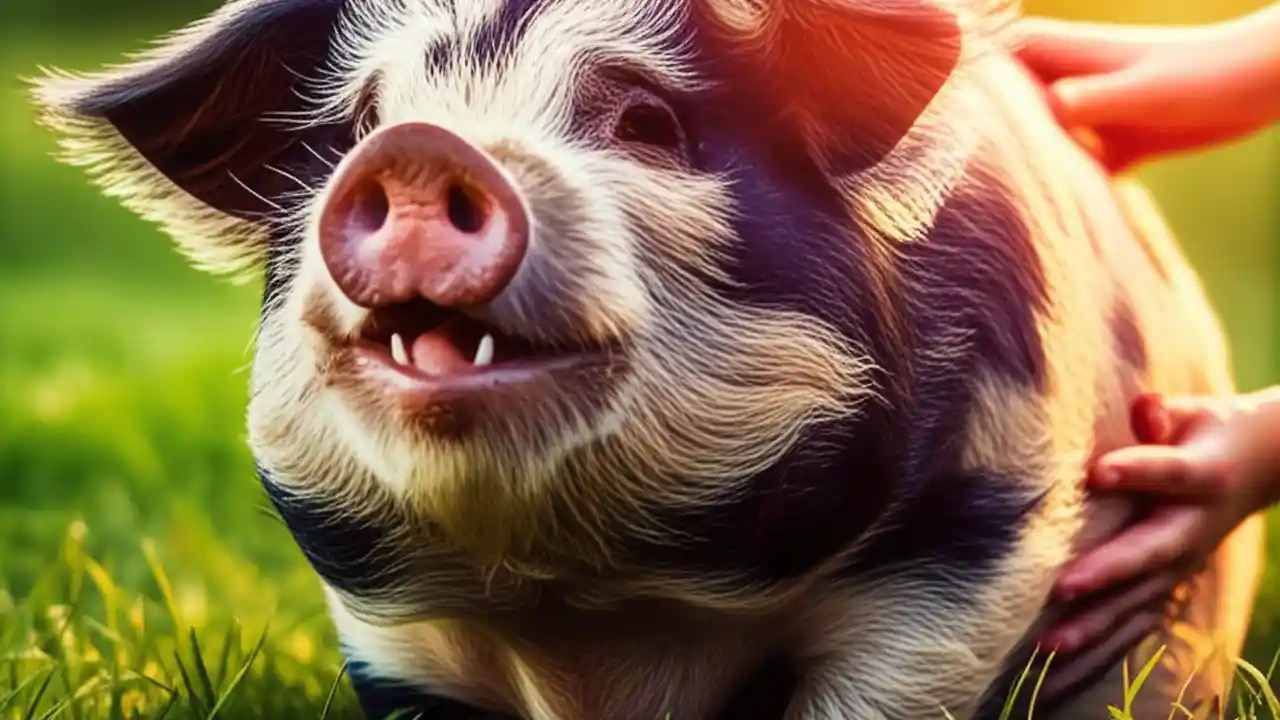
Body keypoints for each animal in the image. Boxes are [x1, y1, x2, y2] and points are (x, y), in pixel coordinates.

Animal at [33, 0, 1265, 718]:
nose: (419, 150)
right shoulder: (391, 630)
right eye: (362, 124)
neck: (590, 610)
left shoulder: (964, 558)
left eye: (644, 120)